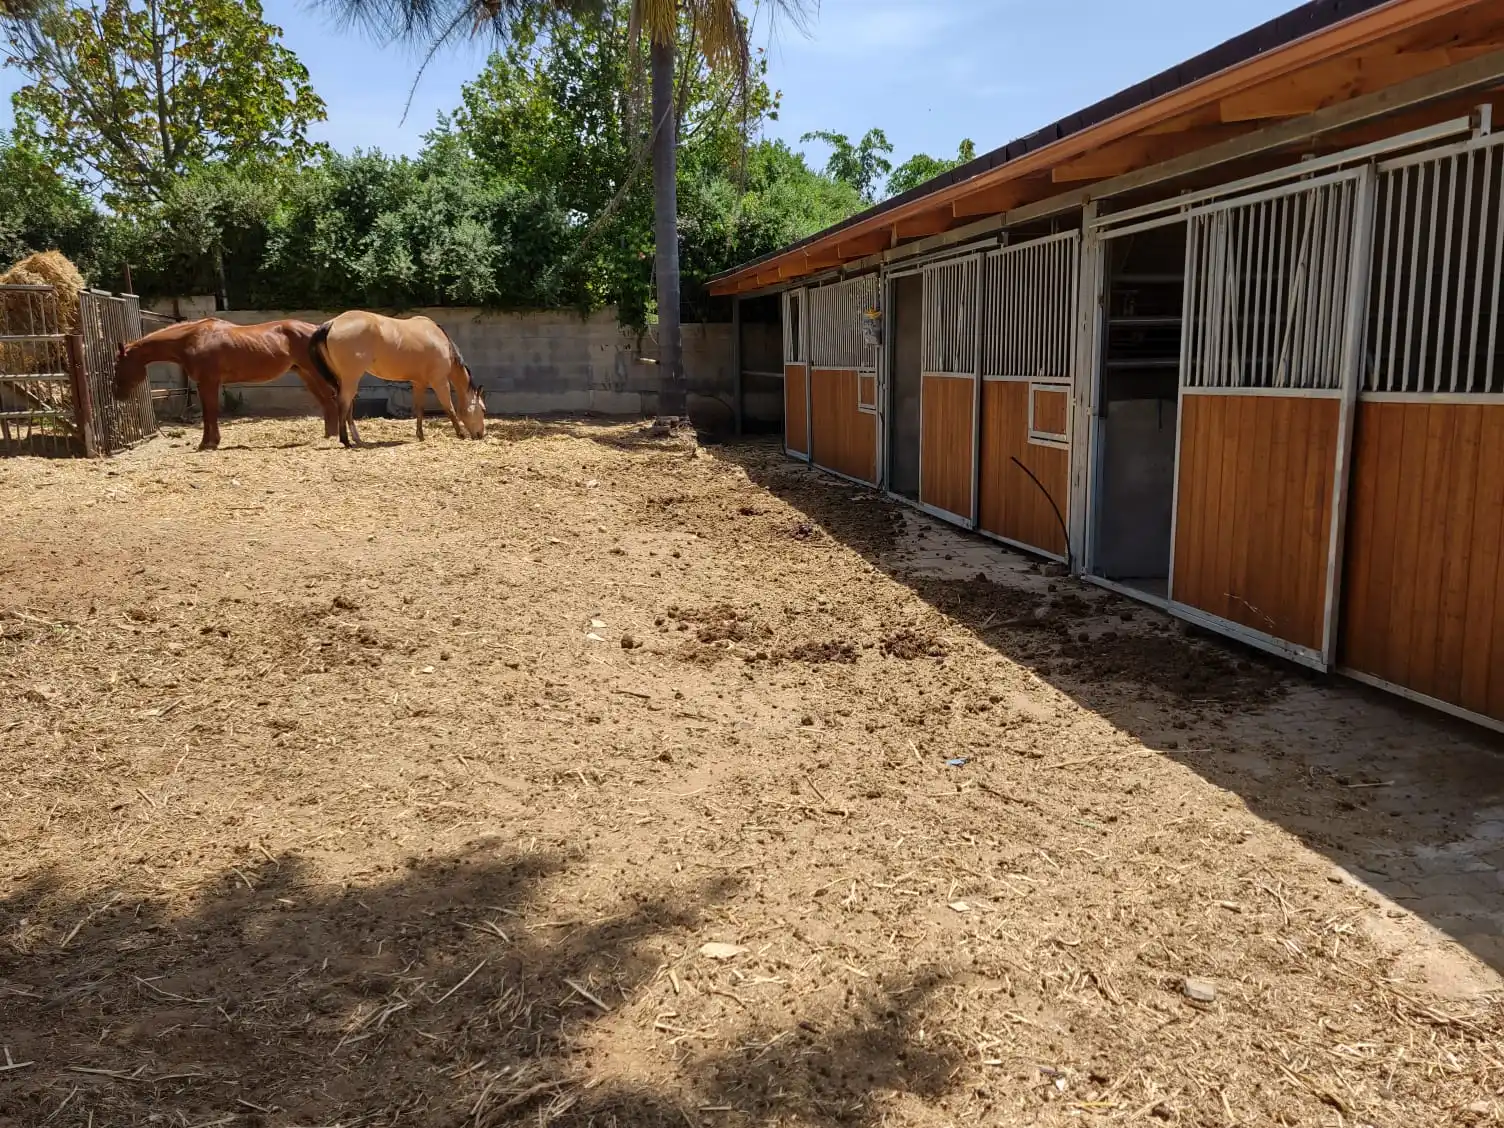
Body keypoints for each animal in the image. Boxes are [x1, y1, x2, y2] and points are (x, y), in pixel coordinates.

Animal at [113, 319, 341, 451]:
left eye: (118, 364)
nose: (117, 394)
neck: (194, 338)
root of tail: (317, 330)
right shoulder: (205, 383)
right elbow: (209, 413)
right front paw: (209, 441)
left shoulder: (209, 382)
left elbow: (210, 412)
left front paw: (209, 443)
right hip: (305, 374)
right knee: (326, 402)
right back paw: (329, 434)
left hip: (313, 373)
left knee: (330, 400)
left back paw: (333, 436)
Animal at [306, 311, 486, 447]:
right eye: (483, 410)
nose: (481, 434)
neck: (442, 342)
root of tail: (332, 323)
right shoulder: (440, 381)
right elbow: (449, 408)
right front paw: (460, 434)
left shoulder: (419, 383)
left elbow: (419, 408)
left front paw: (420, 435)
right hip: (351, 377)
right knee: (344, 403)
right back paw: (346, 441)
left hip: (344, 378)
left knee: (347, 405)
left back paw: (357, 439)